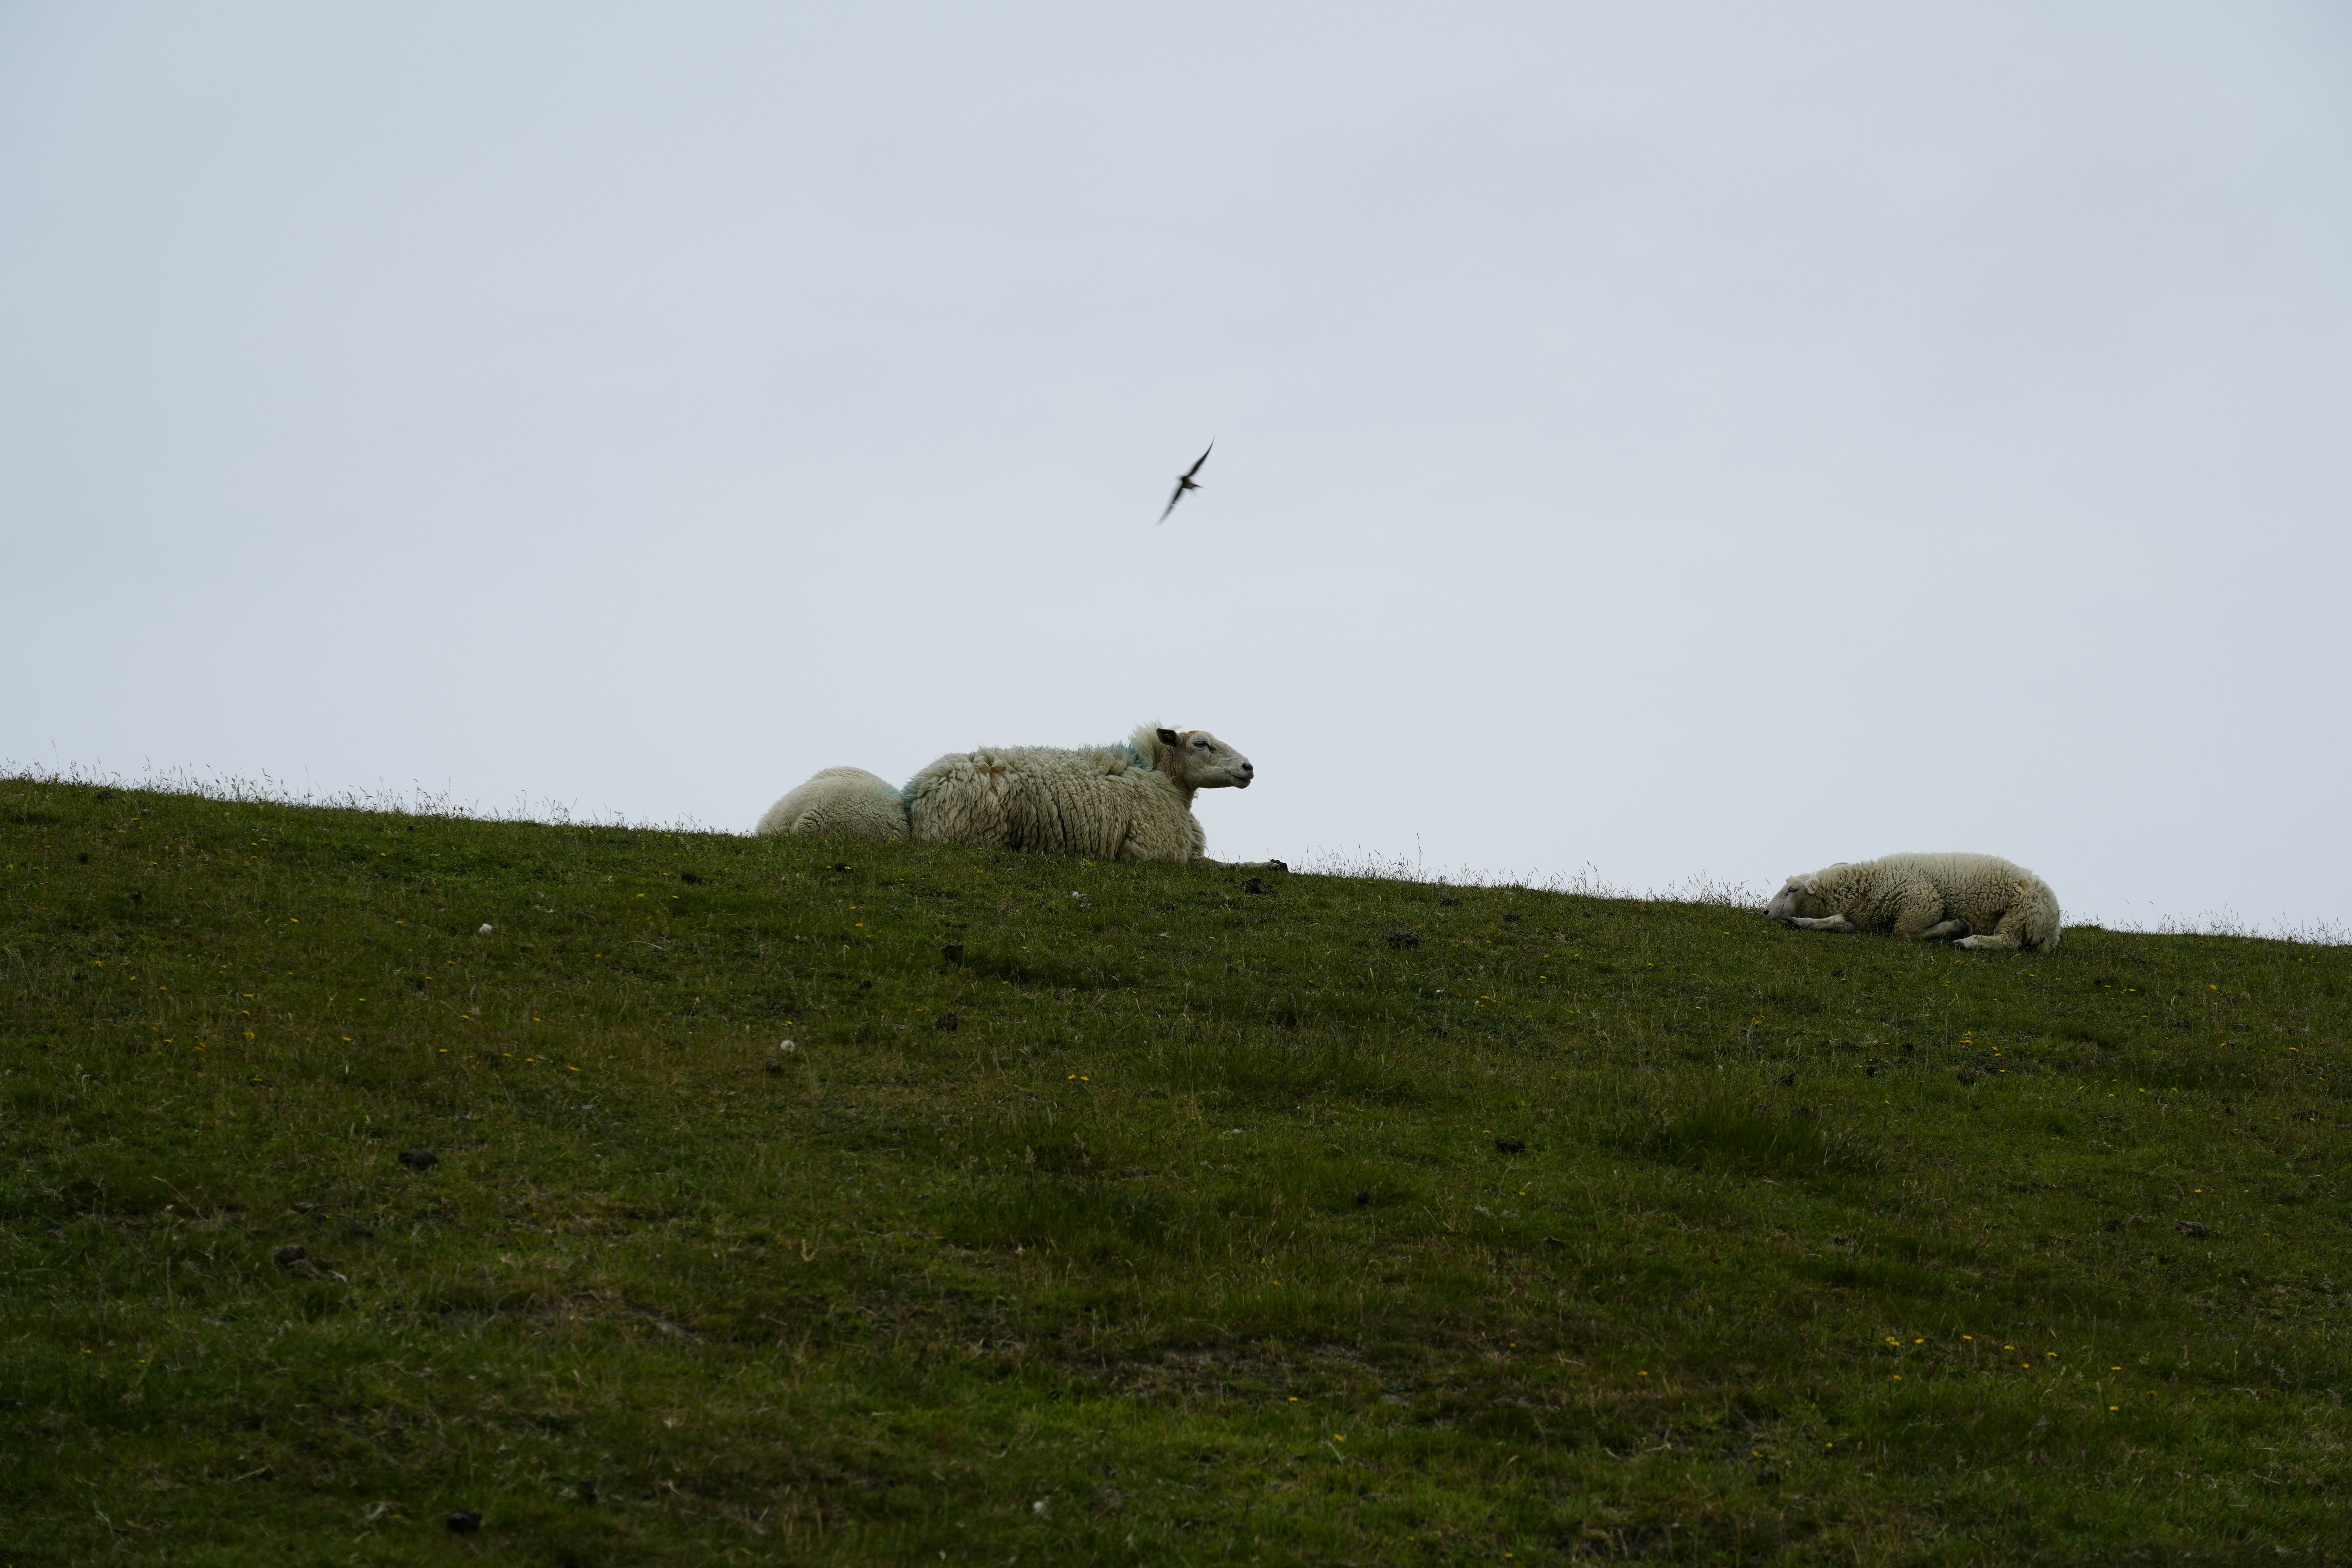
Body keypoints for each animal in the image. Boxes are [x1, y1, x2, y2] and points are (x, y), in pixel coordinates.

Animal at [1766, 852, 2062, 952]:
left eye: (1793, 889)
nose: (1766, 911)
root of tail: (2054, 929)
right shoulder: (1863, 921)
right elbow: (1833, 923)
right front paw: (1798, 922)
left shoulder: (1925, 902)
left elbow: (1905, 933)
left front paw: (1954, 926)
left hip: (2020, 911)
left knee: (2008, 942)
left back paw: (1966, 942)